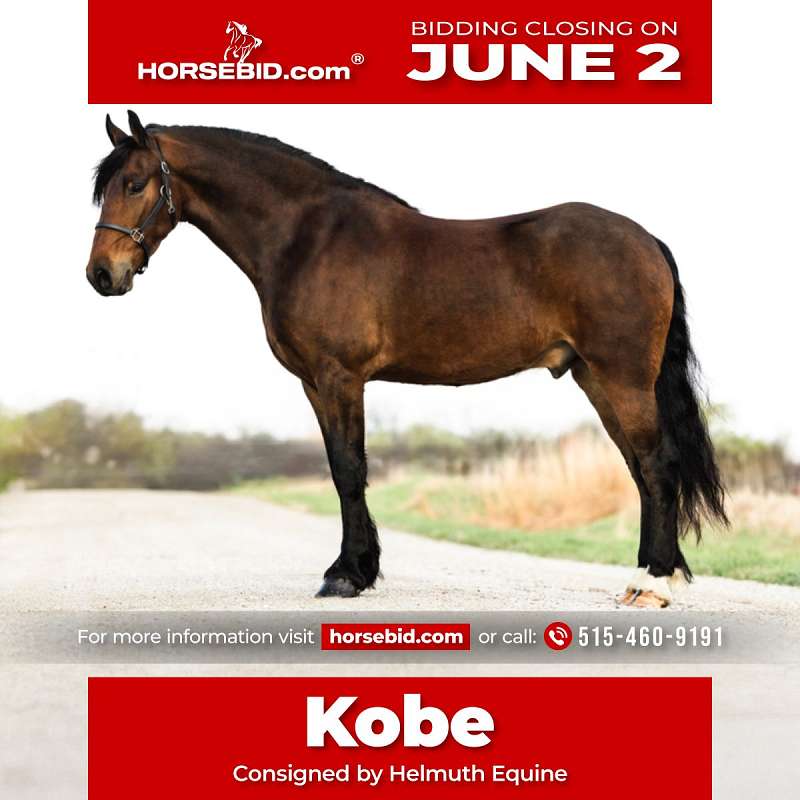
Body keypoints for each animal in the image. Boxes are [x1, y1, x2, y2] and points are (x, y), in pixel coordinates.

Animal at [86, 111, 727, 607]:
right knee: (641, 470)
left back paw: (656, 584)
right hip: (594, 378)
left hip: (623, 378)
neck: (307, 237)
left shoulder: (339, 377)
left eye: (137, 183)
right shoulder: (314, 384)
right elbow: (342, 468)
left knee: (658, 464)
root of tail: (646, 241)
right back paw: (645, 577)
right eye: (107, 187)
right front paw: (358, 568)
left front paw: (346, 575)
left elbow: (348, 469)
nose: (102, 275)